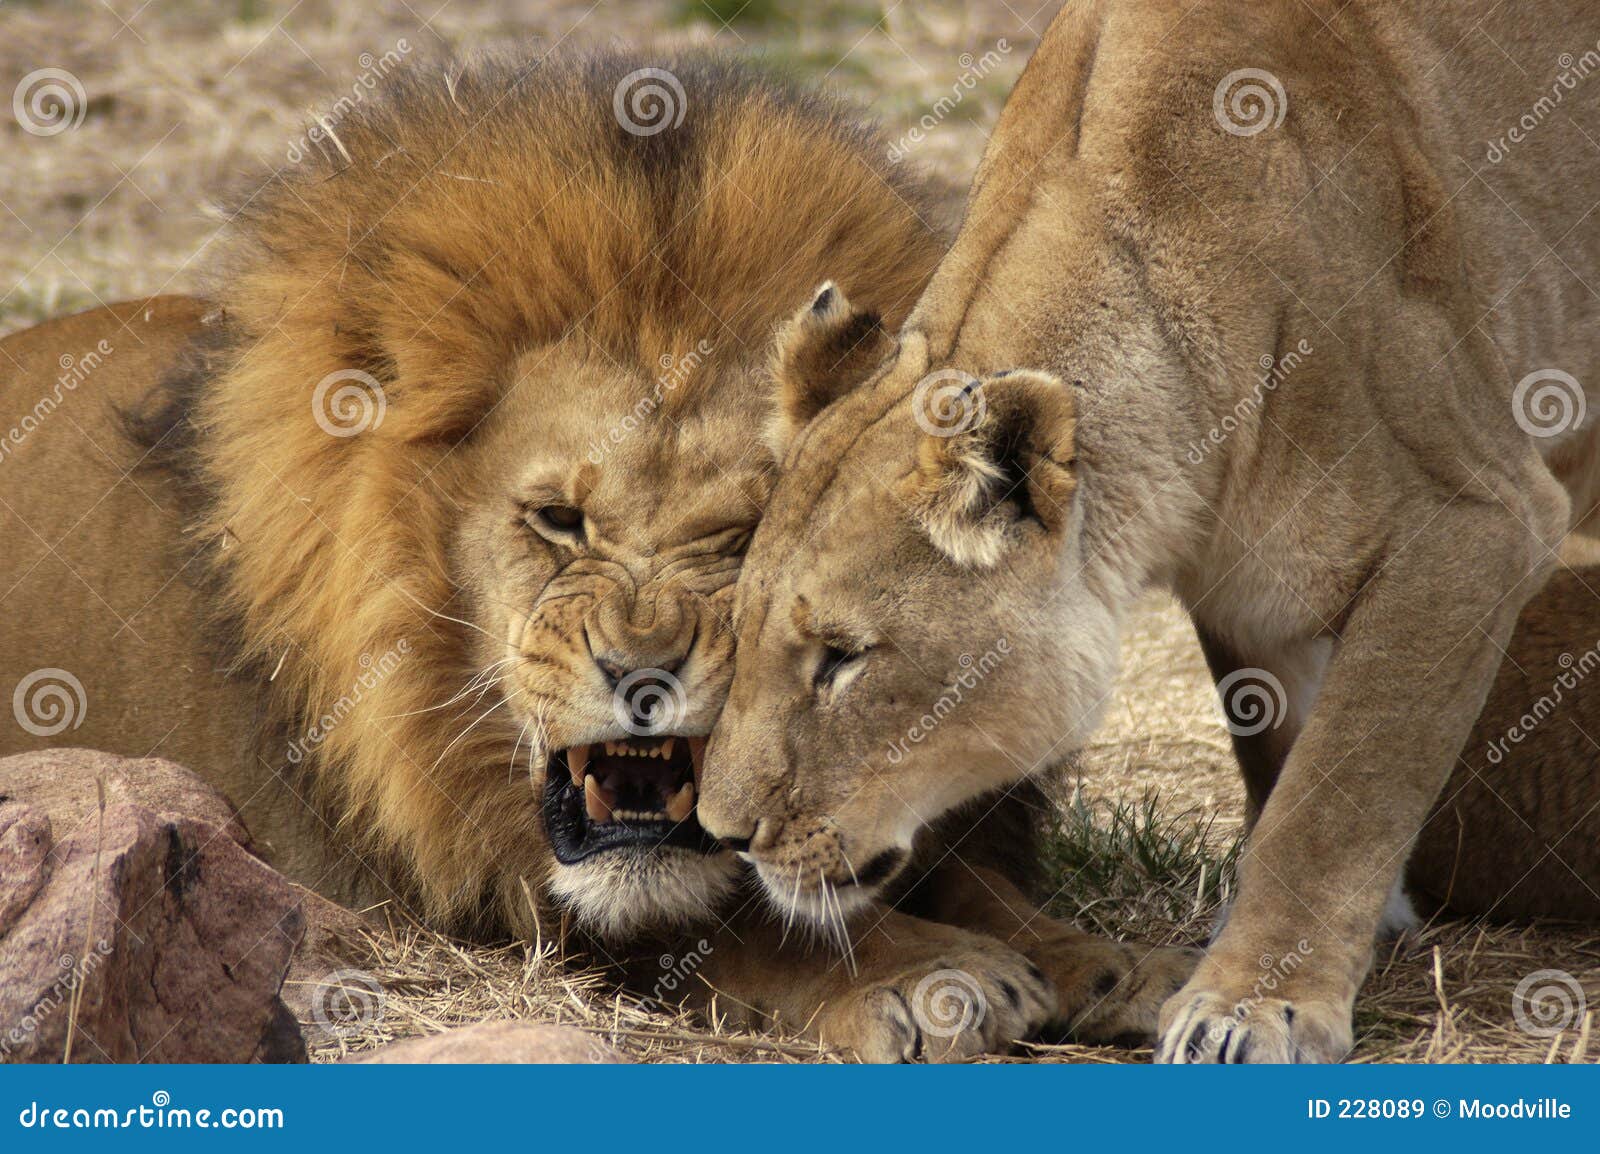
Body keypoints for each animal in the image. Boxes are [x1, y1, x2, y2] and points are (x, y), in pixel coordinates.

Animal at [0, 48, 1184, 1060]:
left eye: (742, 531)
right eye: (559, 521)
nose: (644, 676)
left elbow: (951, 878)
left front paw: (1113, 960)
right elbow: (728, 924)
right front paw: (924, 975)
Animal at [697, 0, 1600, 1064]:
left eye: (842, 659)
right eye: (740, 635)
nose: (721, 834)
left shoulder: (1479, 516)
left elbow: (1335, 794)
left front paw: (1255, 1003)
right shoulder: (1249, 597)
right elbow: (1282, 758)